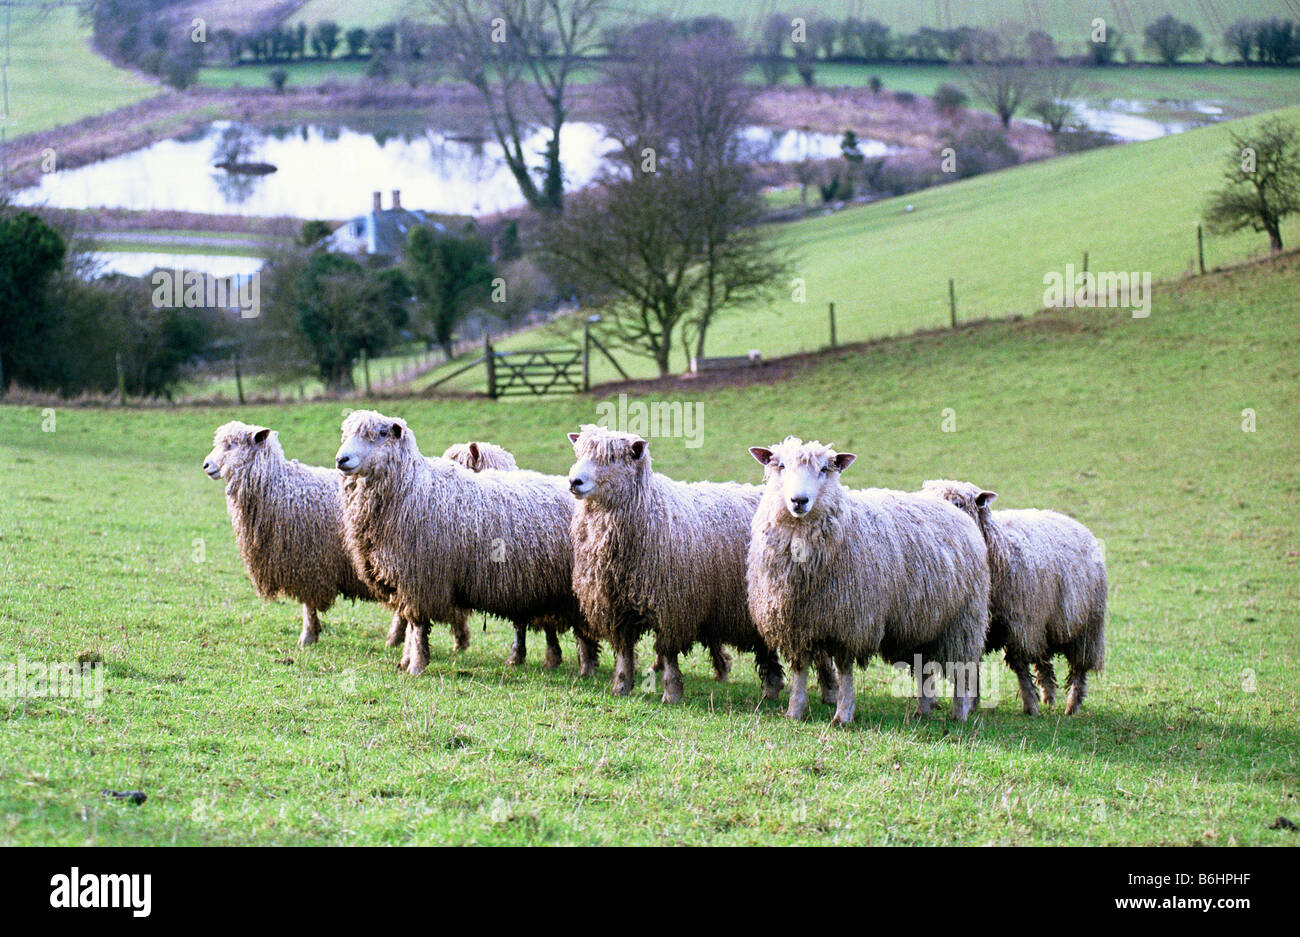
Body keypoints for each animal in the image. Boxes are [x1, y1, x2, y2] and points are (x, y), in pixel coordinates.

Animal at [201, 421, 453, 650]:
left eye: (231, 445)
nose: (206, 465)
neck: (280, 488)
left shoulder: (310, 562)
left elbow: (308, 605)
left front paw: (308, 636)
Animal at [335, 410, 596, 677]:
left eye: (381, 433)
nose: (341, 459)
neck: (411, 488)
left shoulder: (422, 578)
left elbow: (417, 626)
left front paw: (416, 665)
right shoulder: (406, 581)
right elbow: (409, 624)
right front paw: (406, 660)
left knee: (583, 630)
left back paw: (586, 668)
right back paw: (553, 660)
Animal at [566, 424, 837, 703]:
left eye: (611, 458)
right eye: (579, 453)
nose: (574, 481)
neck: (650, 511)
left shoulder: (674, 608)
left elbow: (668, 654)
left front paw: (671, 692)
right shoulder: (615, 608)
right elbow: (624, 652)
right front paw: (620, 687)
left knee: (819, 653)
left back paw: (829, 693)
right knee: (767, 650)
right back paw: (771, 690)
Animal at [746, 438, 990, 725]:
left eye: (824, 469)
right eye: (781, 466)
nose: (799, 500)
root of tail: (955, 510)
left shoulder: (851, 622)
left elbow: (844, 669)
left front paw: (843, 713)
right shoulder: (795, 623)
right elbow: (800, 669)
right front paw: (794, 710)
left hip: (964, 620)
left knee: (962, 669)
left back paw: (959, 714)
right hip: (922, 624)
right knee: (923, 669)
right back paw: (923, 711)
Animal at [918, 480, 1106, 715]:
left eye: (957, 503)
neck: (999, 552)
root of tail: (1071, 520)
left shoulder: (1020, 625)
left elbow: (1019, 665)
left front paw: (1030, 705)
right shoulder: (978, 625)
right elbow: (974, 665)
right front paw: (972, 703)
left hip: (1087, 626)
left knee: (1080, 666)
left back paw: (1072, 705)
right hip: (1044, 623)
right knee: (1044, 662)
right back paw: (1049, 697)